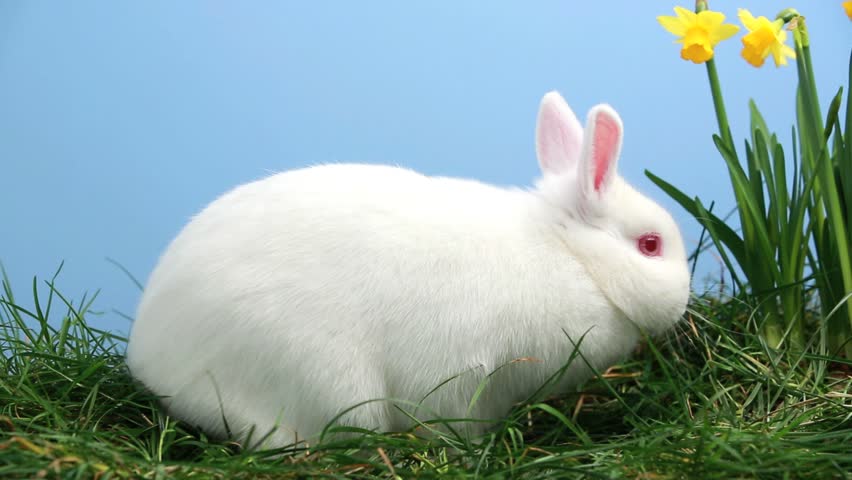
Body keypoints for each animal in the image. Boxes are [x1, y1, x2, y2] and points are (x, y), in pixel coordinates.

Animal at [125, 90, 691, 449]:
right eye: (650, 245)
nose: (684, 301)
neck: (569, 253)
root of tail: (154, 364)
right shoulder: (457, 376)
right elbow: (447, 423)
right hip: (319, 382)